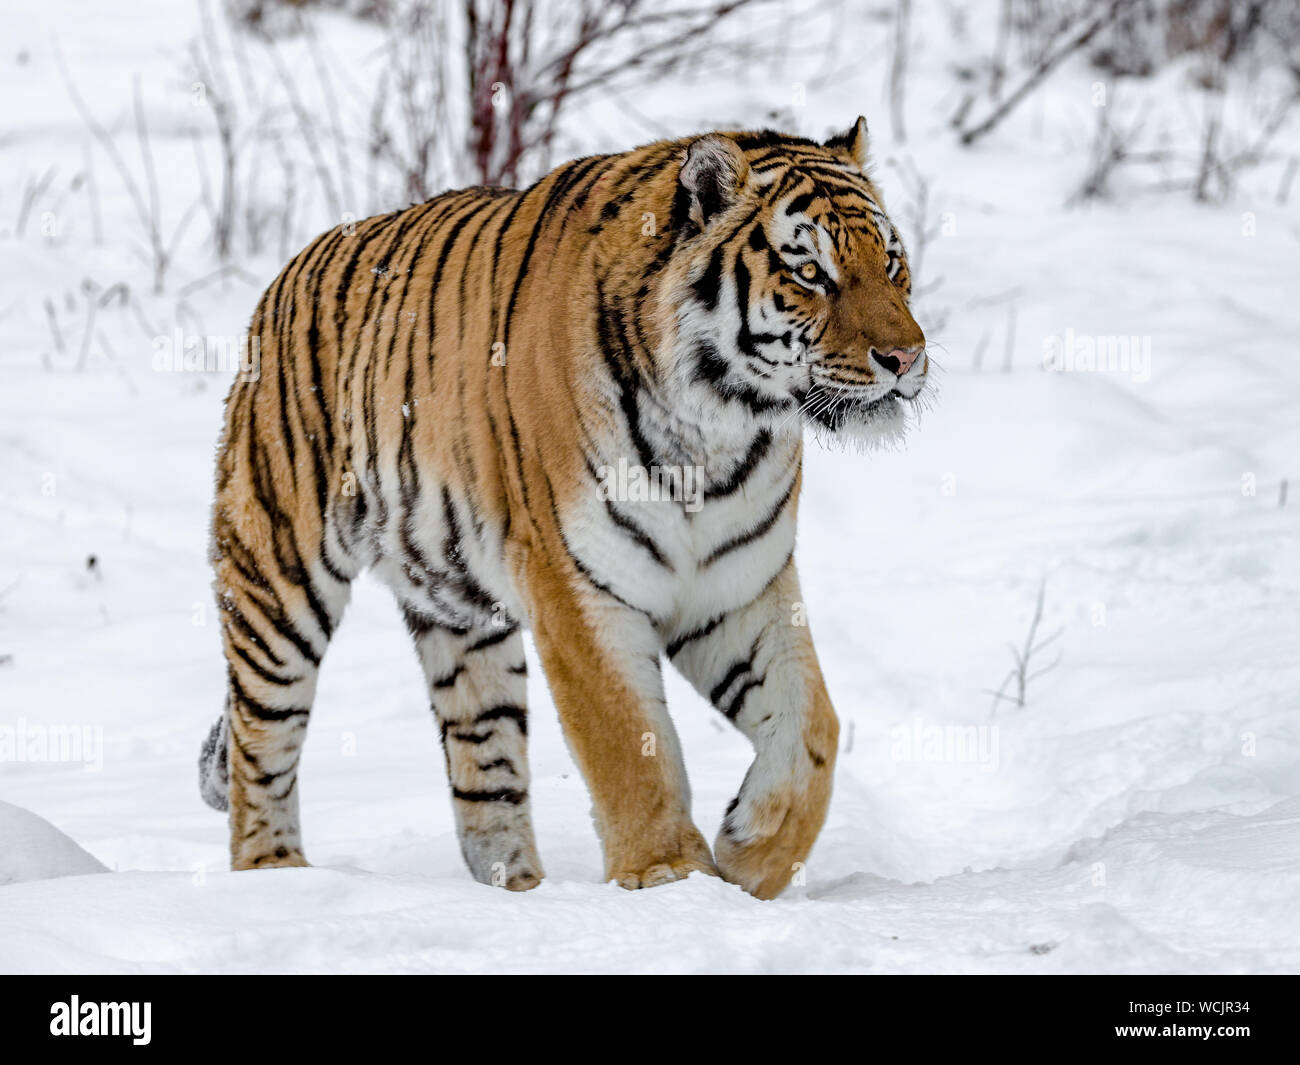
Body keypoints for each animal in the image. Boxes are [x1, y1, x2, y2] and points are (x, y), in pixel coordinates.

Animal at [197, 116, 927, 900]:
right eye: (810, 273)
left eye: (891, 262)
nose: (906, 359)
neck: (719, 429)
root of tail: (288, 273)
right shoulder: (576, 585)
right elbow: (629, 743)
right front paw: (668, 874)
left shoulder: (739, 588)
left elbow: (812, 726)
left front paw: (751, 850)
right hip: (278, 579)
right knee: (260, 744)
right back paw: (277, 879)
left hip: (463, 619)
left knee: (483, 771)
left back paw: (519, 893)